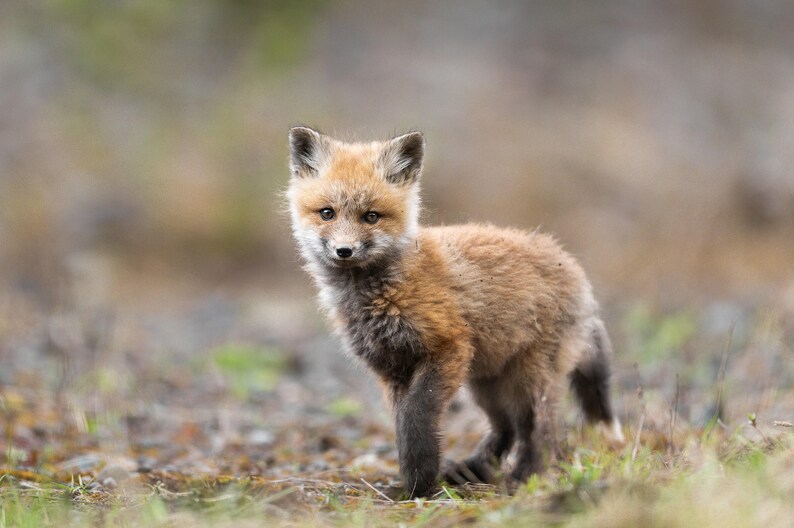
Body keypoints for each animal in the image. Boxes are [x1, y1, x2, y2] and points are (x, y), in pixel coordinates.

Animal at [286, 126, 624, 498]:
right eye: (327, 213)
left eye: (371, 216)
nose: (343, 250)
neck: (383, 291)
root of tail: (575, 268)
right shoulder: (392, 369)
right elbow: (402, 425)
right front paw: (413, 481)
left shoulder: (448, 347)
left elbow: (417, 417)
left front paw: (420, 482)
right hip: (487, 382)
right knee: (507, 428)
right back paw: (474, 470)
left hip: (526, 378)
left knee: (542, 431)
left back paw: (524, 477)